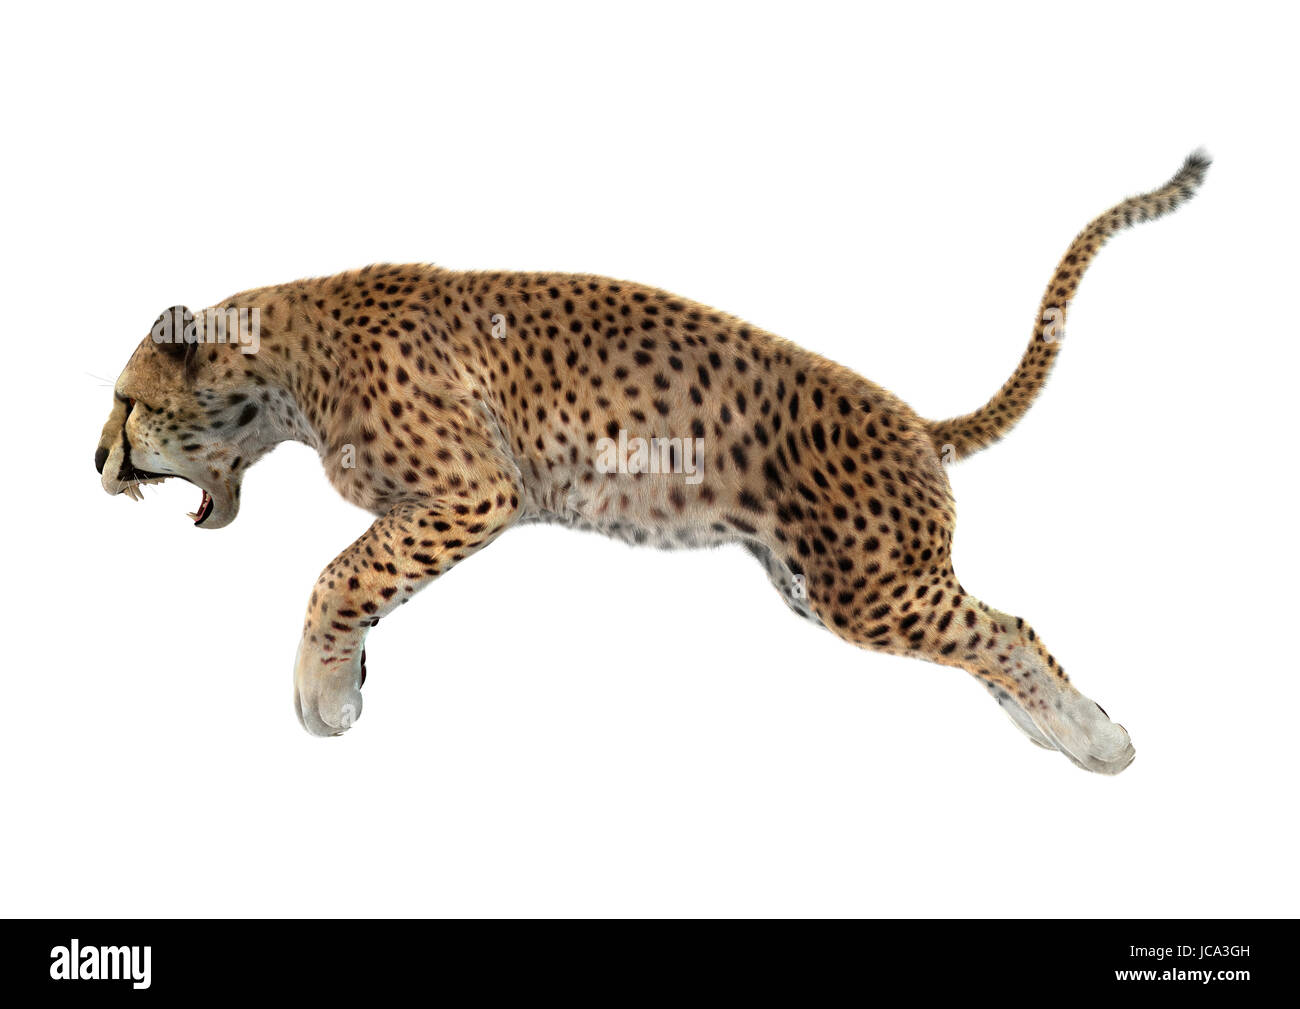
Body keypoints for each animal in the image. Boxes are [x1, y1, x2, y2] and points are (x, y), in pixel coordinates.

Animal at [96, 151, 1209, 773]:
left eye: (125, 400)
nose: (97, 461)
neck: (283, 361)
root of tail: (912, 418)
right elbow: (366, 581)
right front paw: (349, 673)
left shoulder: (474, 491)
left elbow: (340, 573)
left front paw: (322, 692)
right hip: (824, 585)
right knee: (984, 639)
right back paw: (1062, 732)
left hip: (866, 586)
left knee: (1005, 629)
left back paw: (1096, 742)